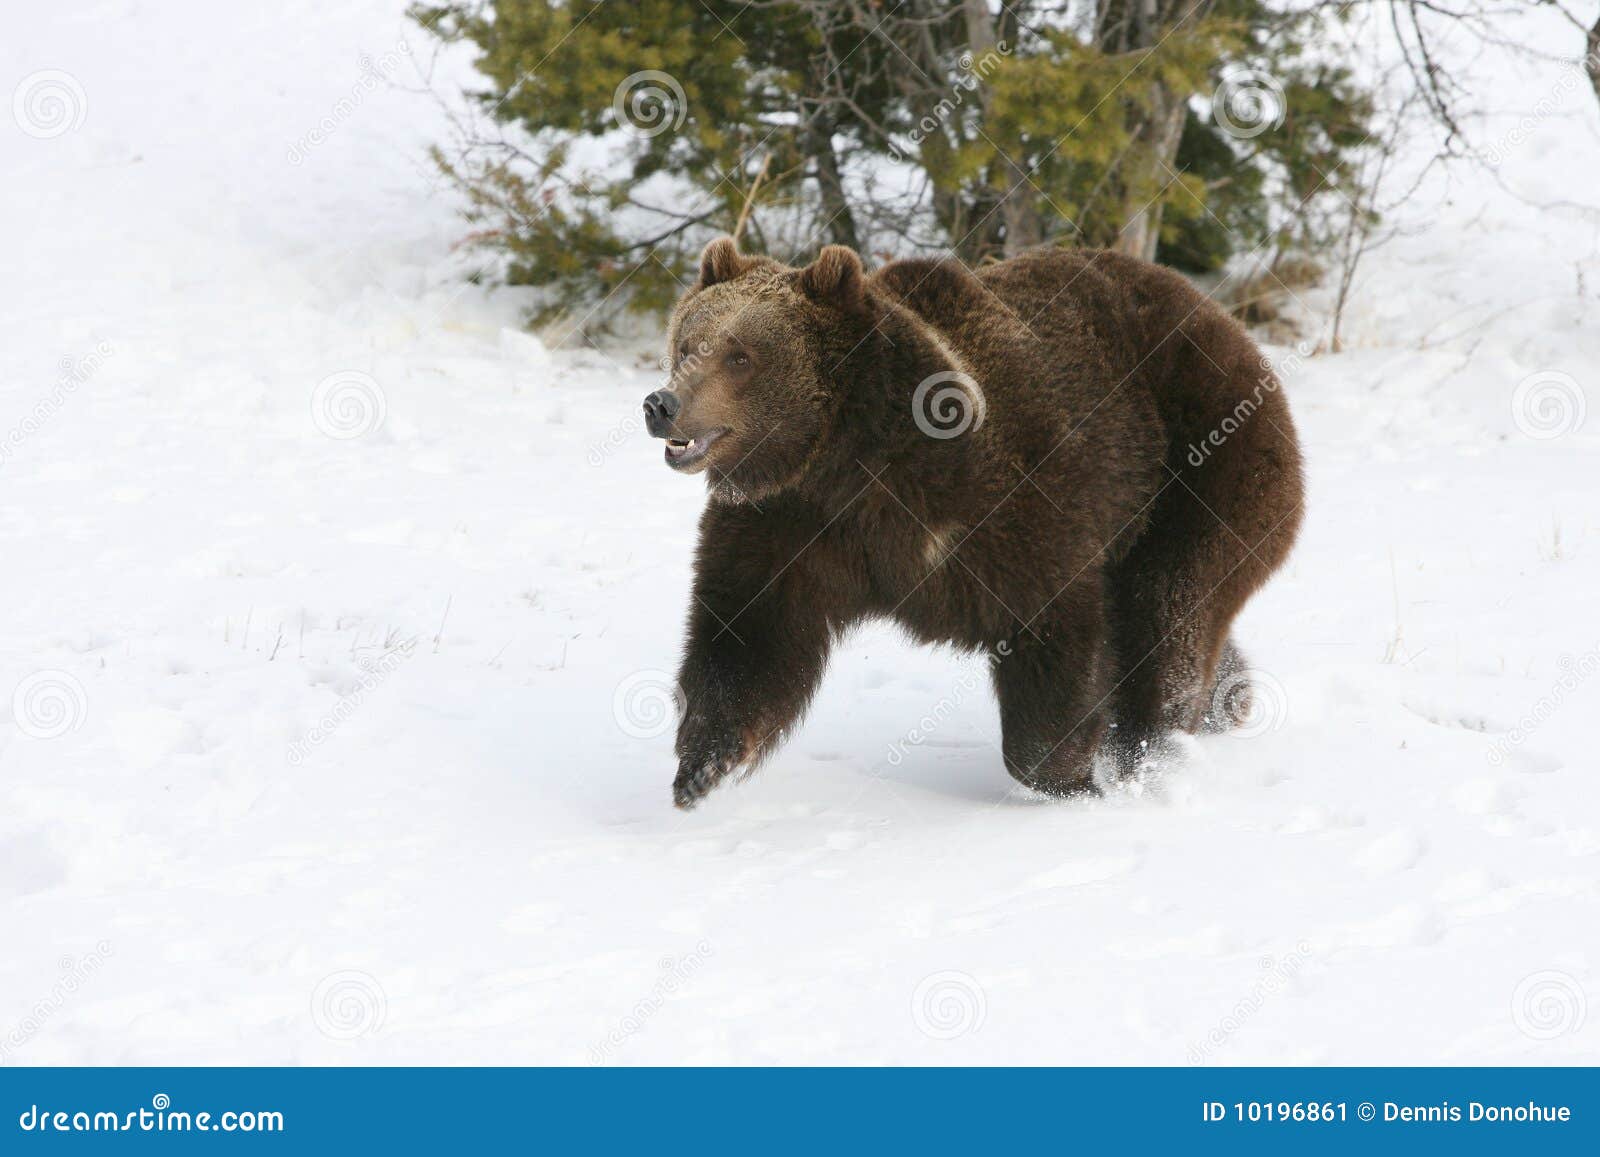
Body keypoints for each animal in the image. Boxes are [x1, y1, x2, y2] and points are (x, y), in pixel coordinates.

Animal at [642, 236, 1304, 810]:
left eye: (740, 355)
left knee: (1171, 607)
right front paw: (701, 765)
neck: (853, 460)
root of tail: (1211, 308)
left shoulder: (1009, 504)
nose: (661, 404)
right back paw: (1229, 698)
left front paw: (1069, 778)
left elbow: (1054, 625)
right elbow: (750, 629)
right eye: (687, 343)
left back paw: (1150, 751)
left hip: (1203, 458)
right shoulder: (790, 522)